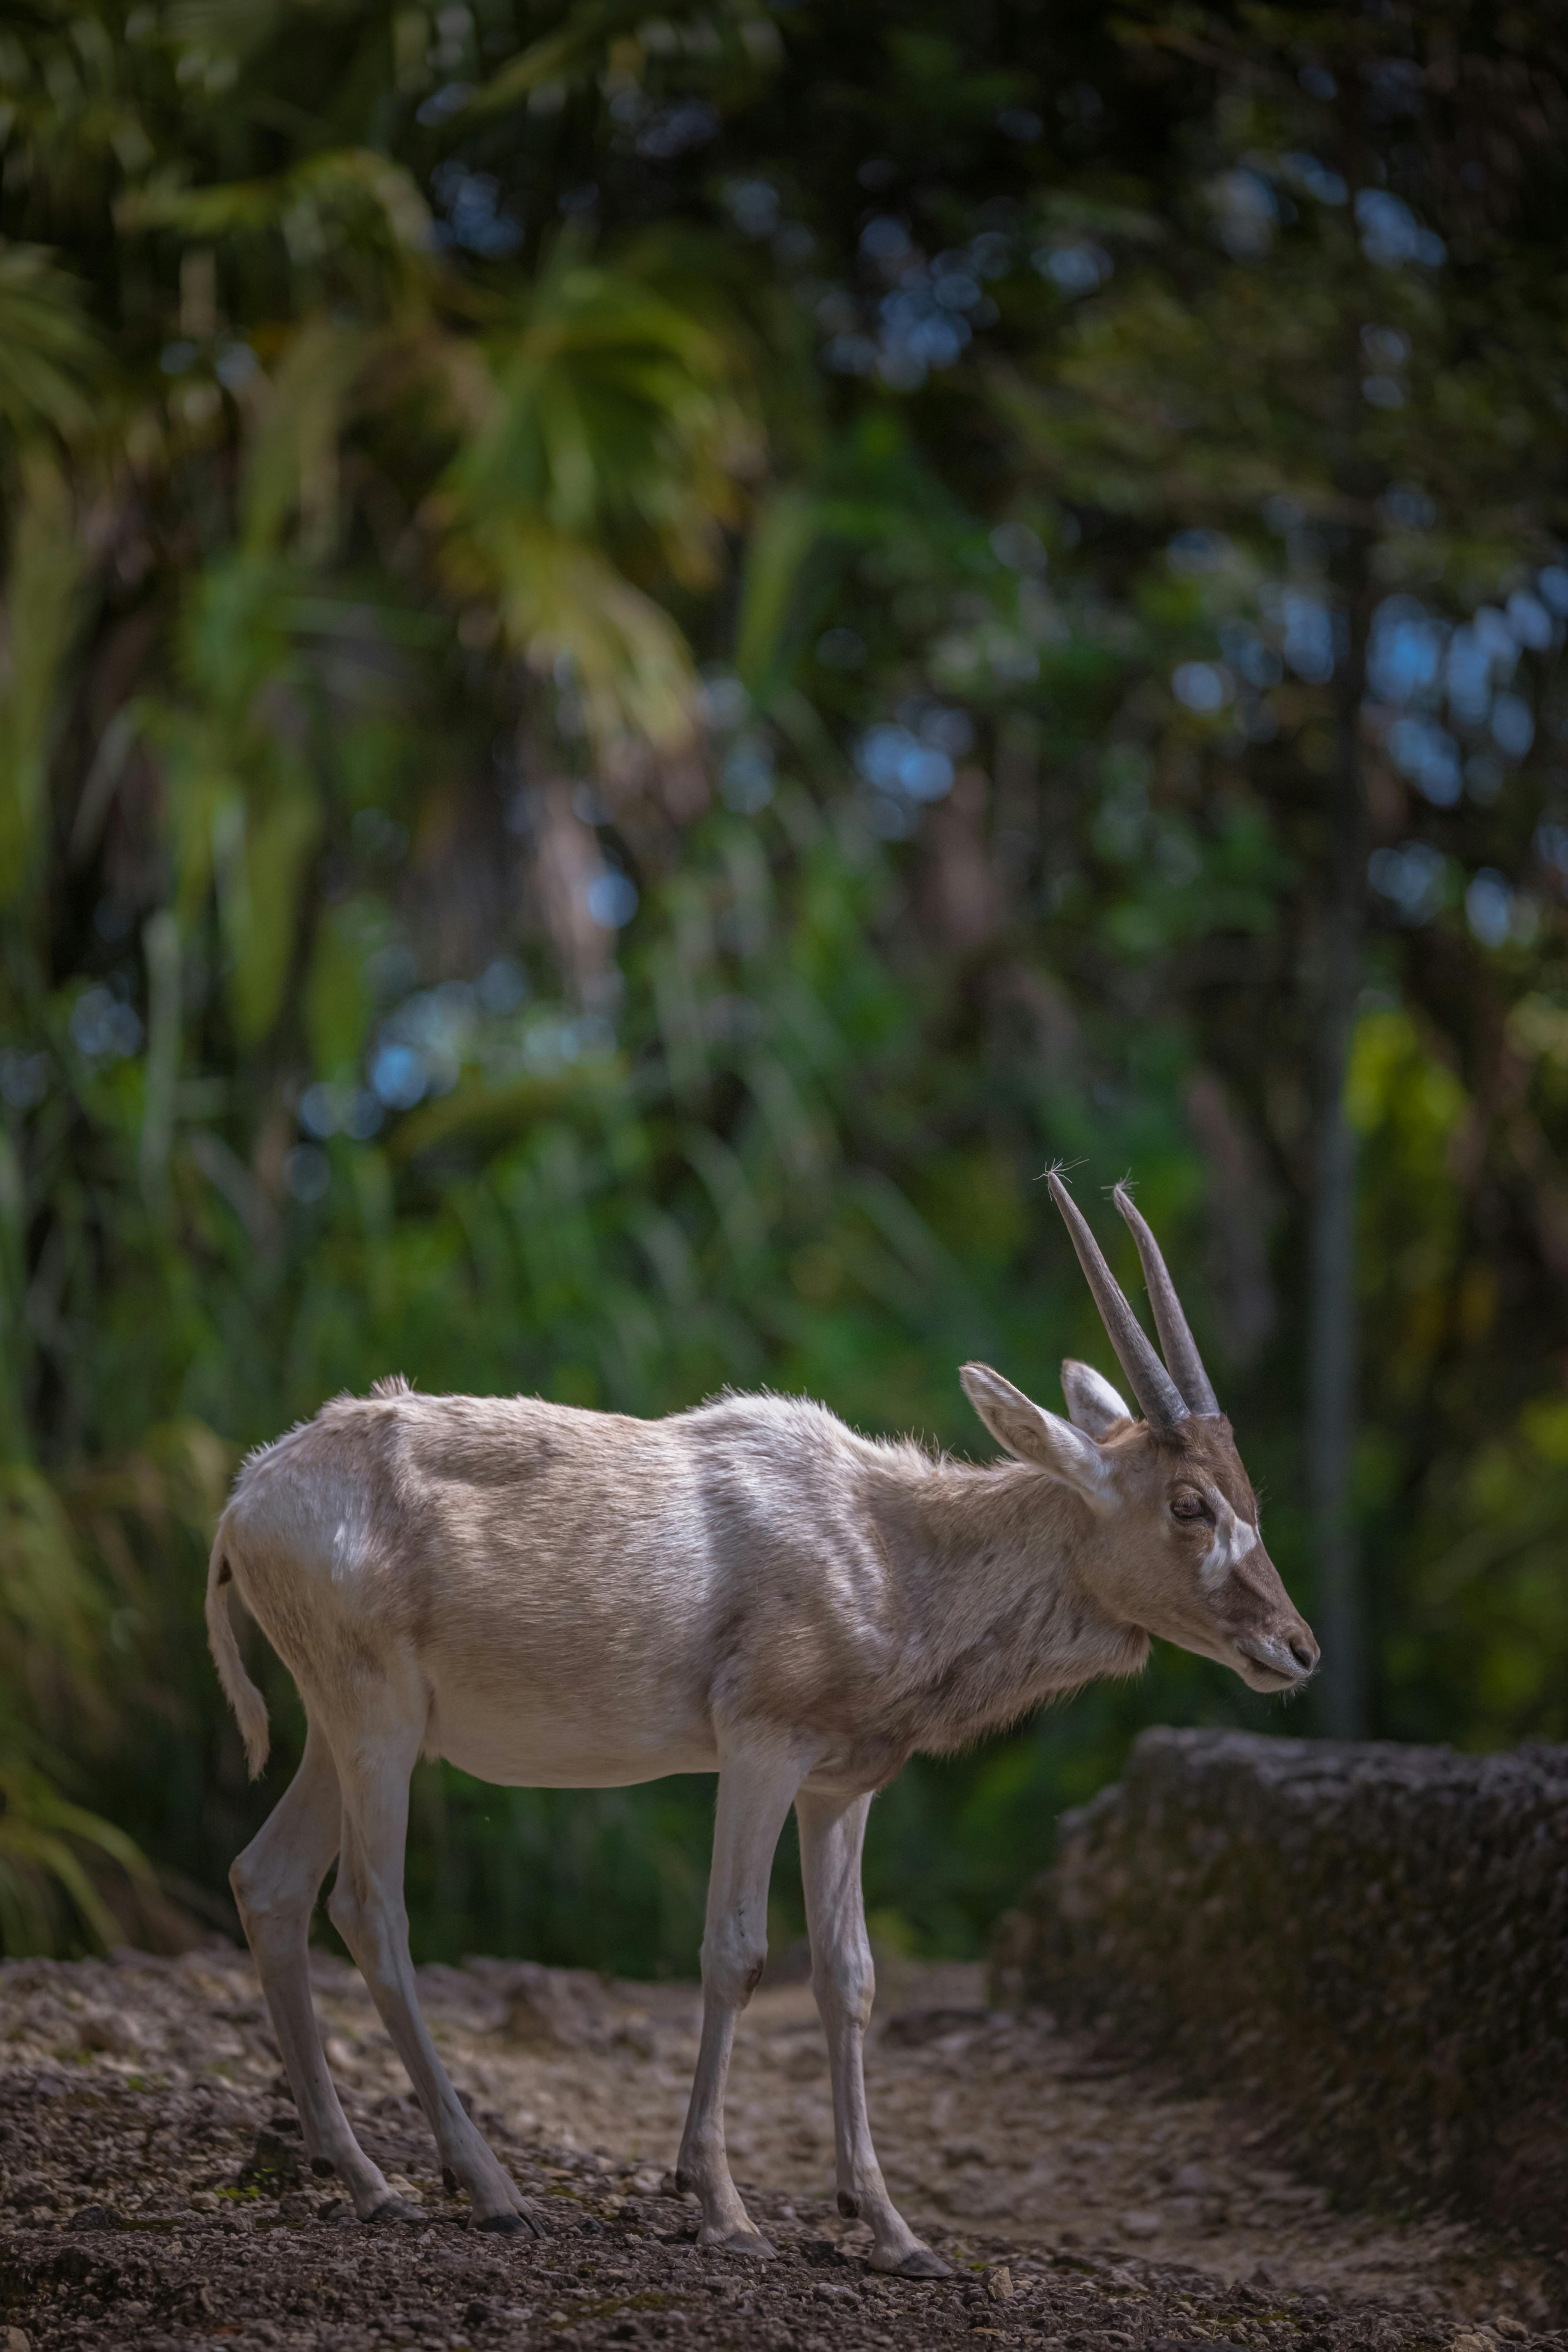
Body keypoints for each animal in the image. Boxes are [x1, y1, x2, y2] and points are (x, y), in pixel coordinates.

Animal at [207, 1175, 1317, 2275]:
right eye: (1188, 1503)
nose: (1296, 1648)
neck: (888, 1541)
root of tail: (245, 1499)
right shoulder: (759, 1750)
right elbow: (735, 1949)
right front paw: (722, 2207)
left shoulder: (840, 1786)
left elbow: (849, 1976)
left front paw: (894, 2230)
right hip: (378, 1723)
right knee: (369, 1909)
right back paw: (487, 2188)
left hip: (337, 1730)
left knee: (271, 1881)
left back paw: (367, 2178)